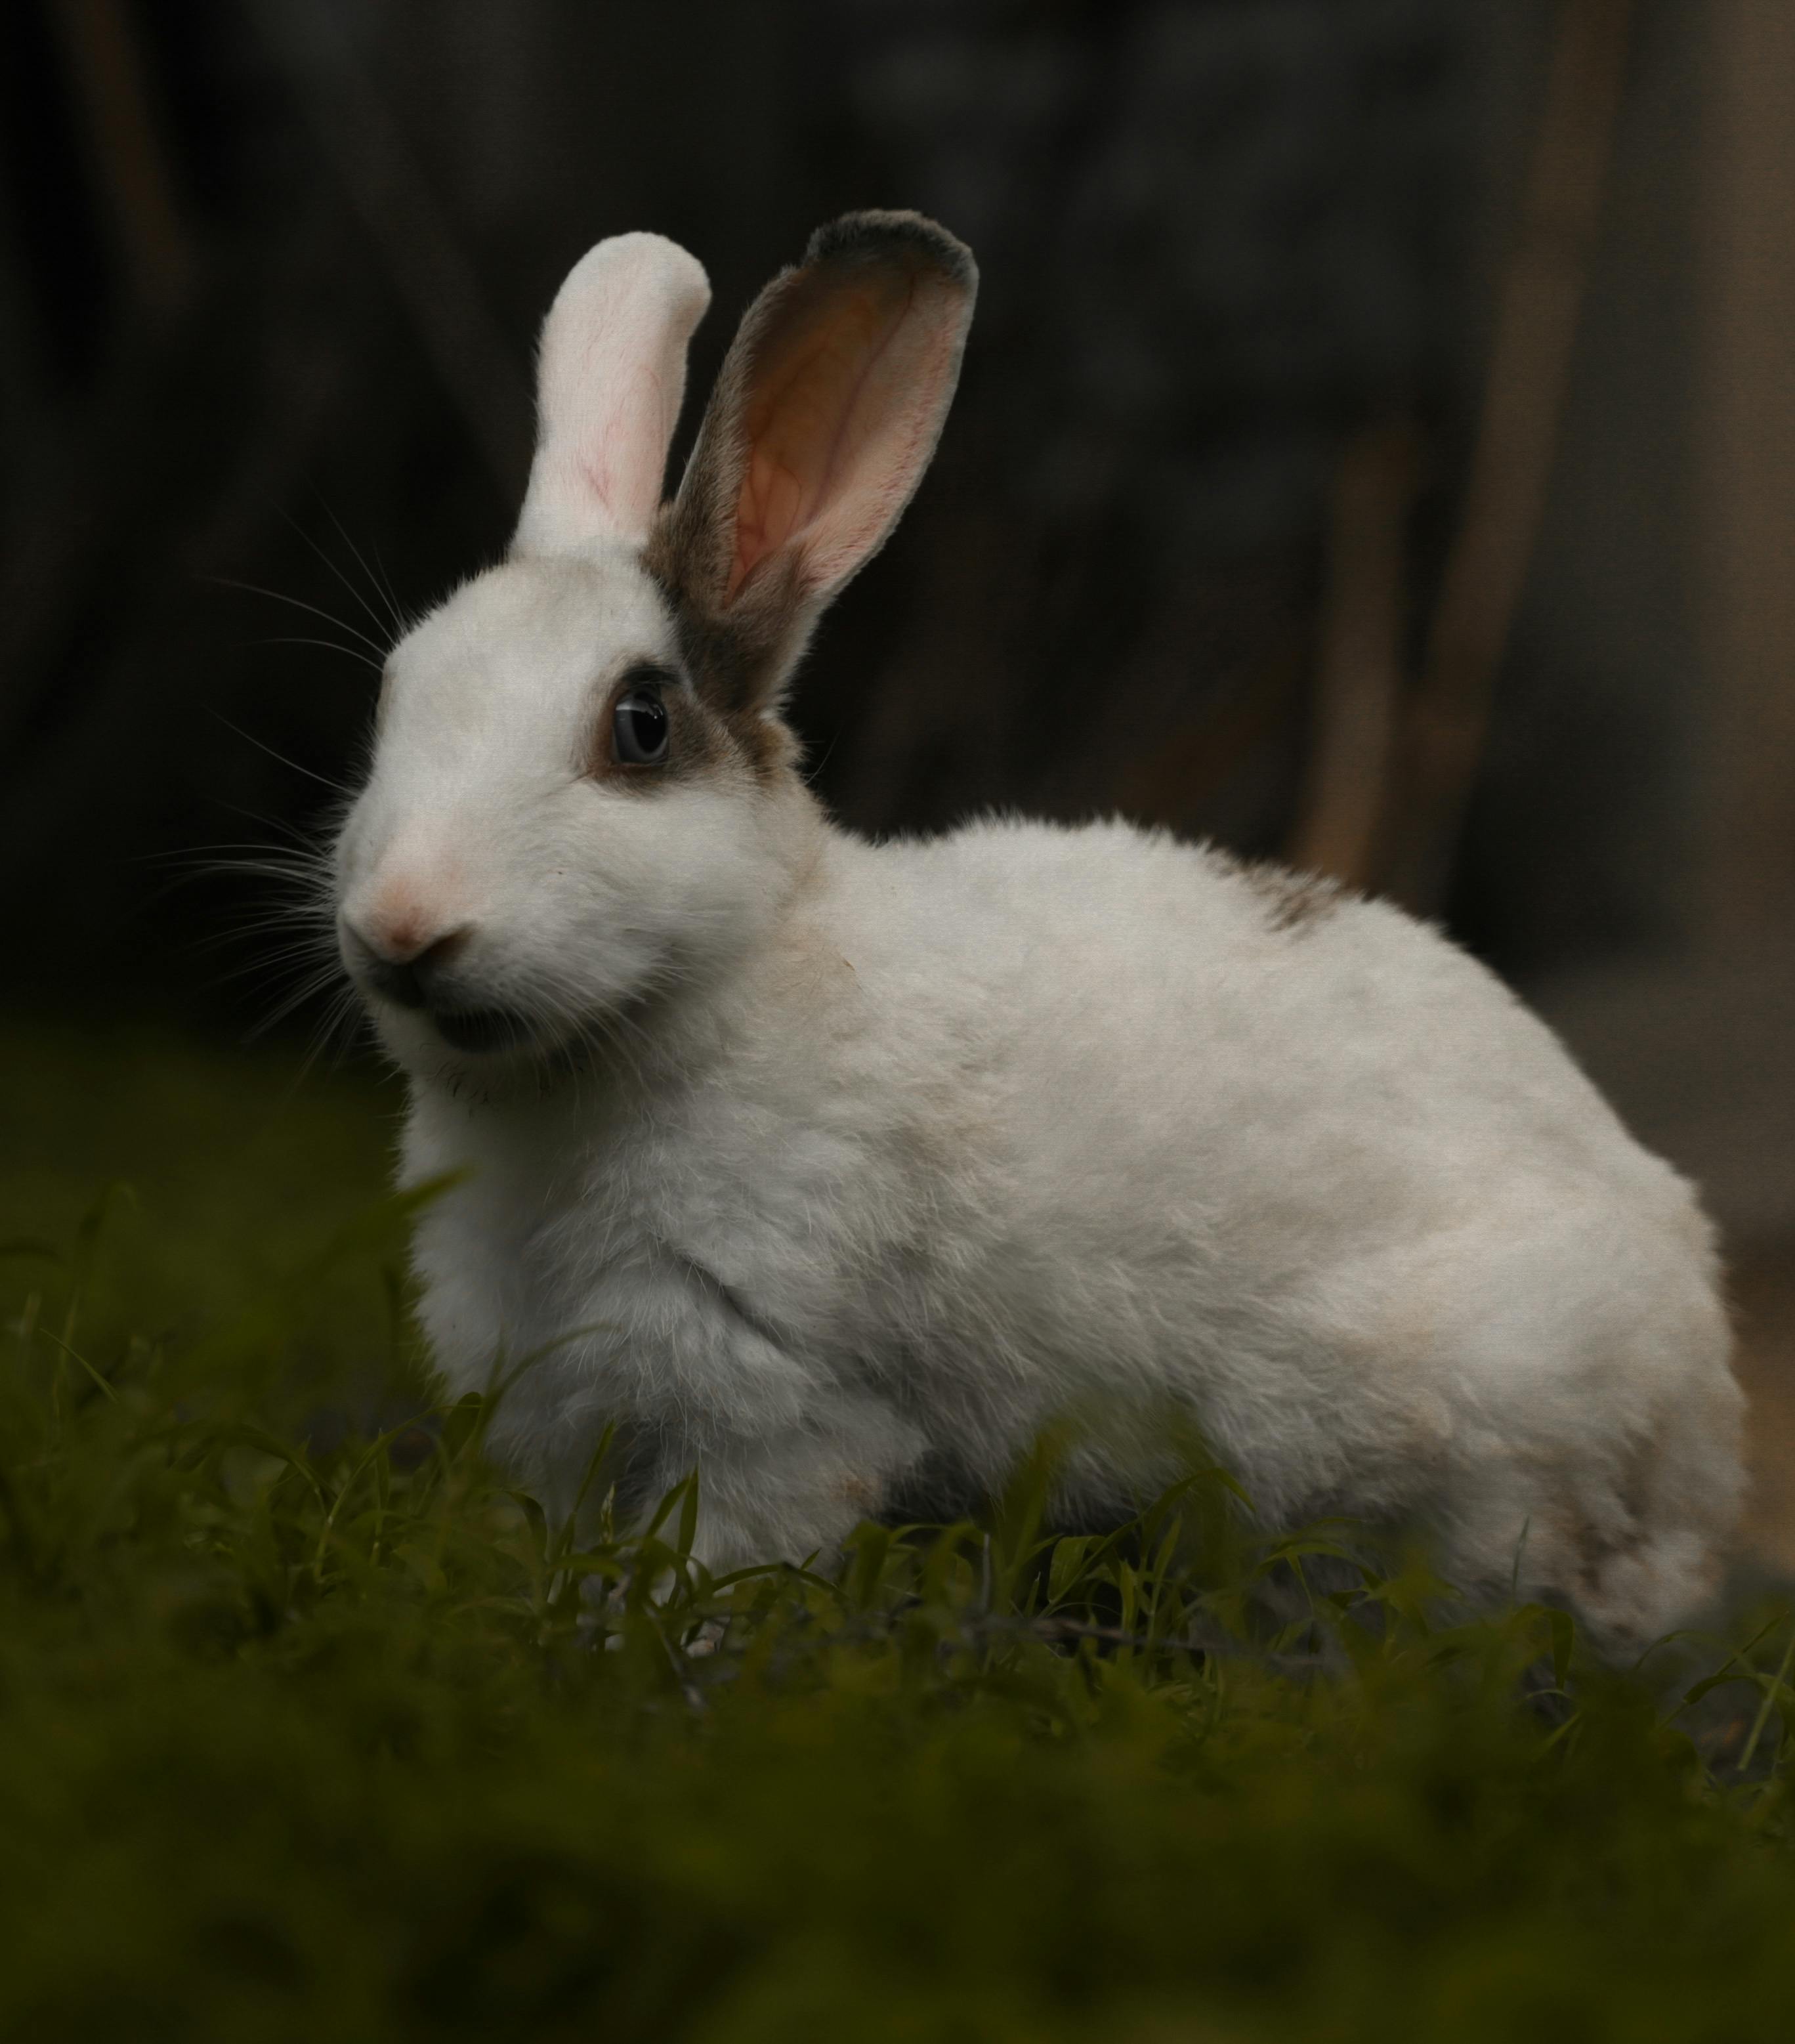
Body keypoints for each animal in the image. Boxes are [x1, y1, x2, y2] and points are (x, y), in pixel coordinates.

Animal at [330, 210, 1744, 1657]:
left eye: (640, 726)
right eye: (393, 695)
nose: (401, 925)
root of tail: (1704, 1405)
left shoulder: (781, 1408)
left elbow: (721, 1553)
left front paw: (651, 1644)